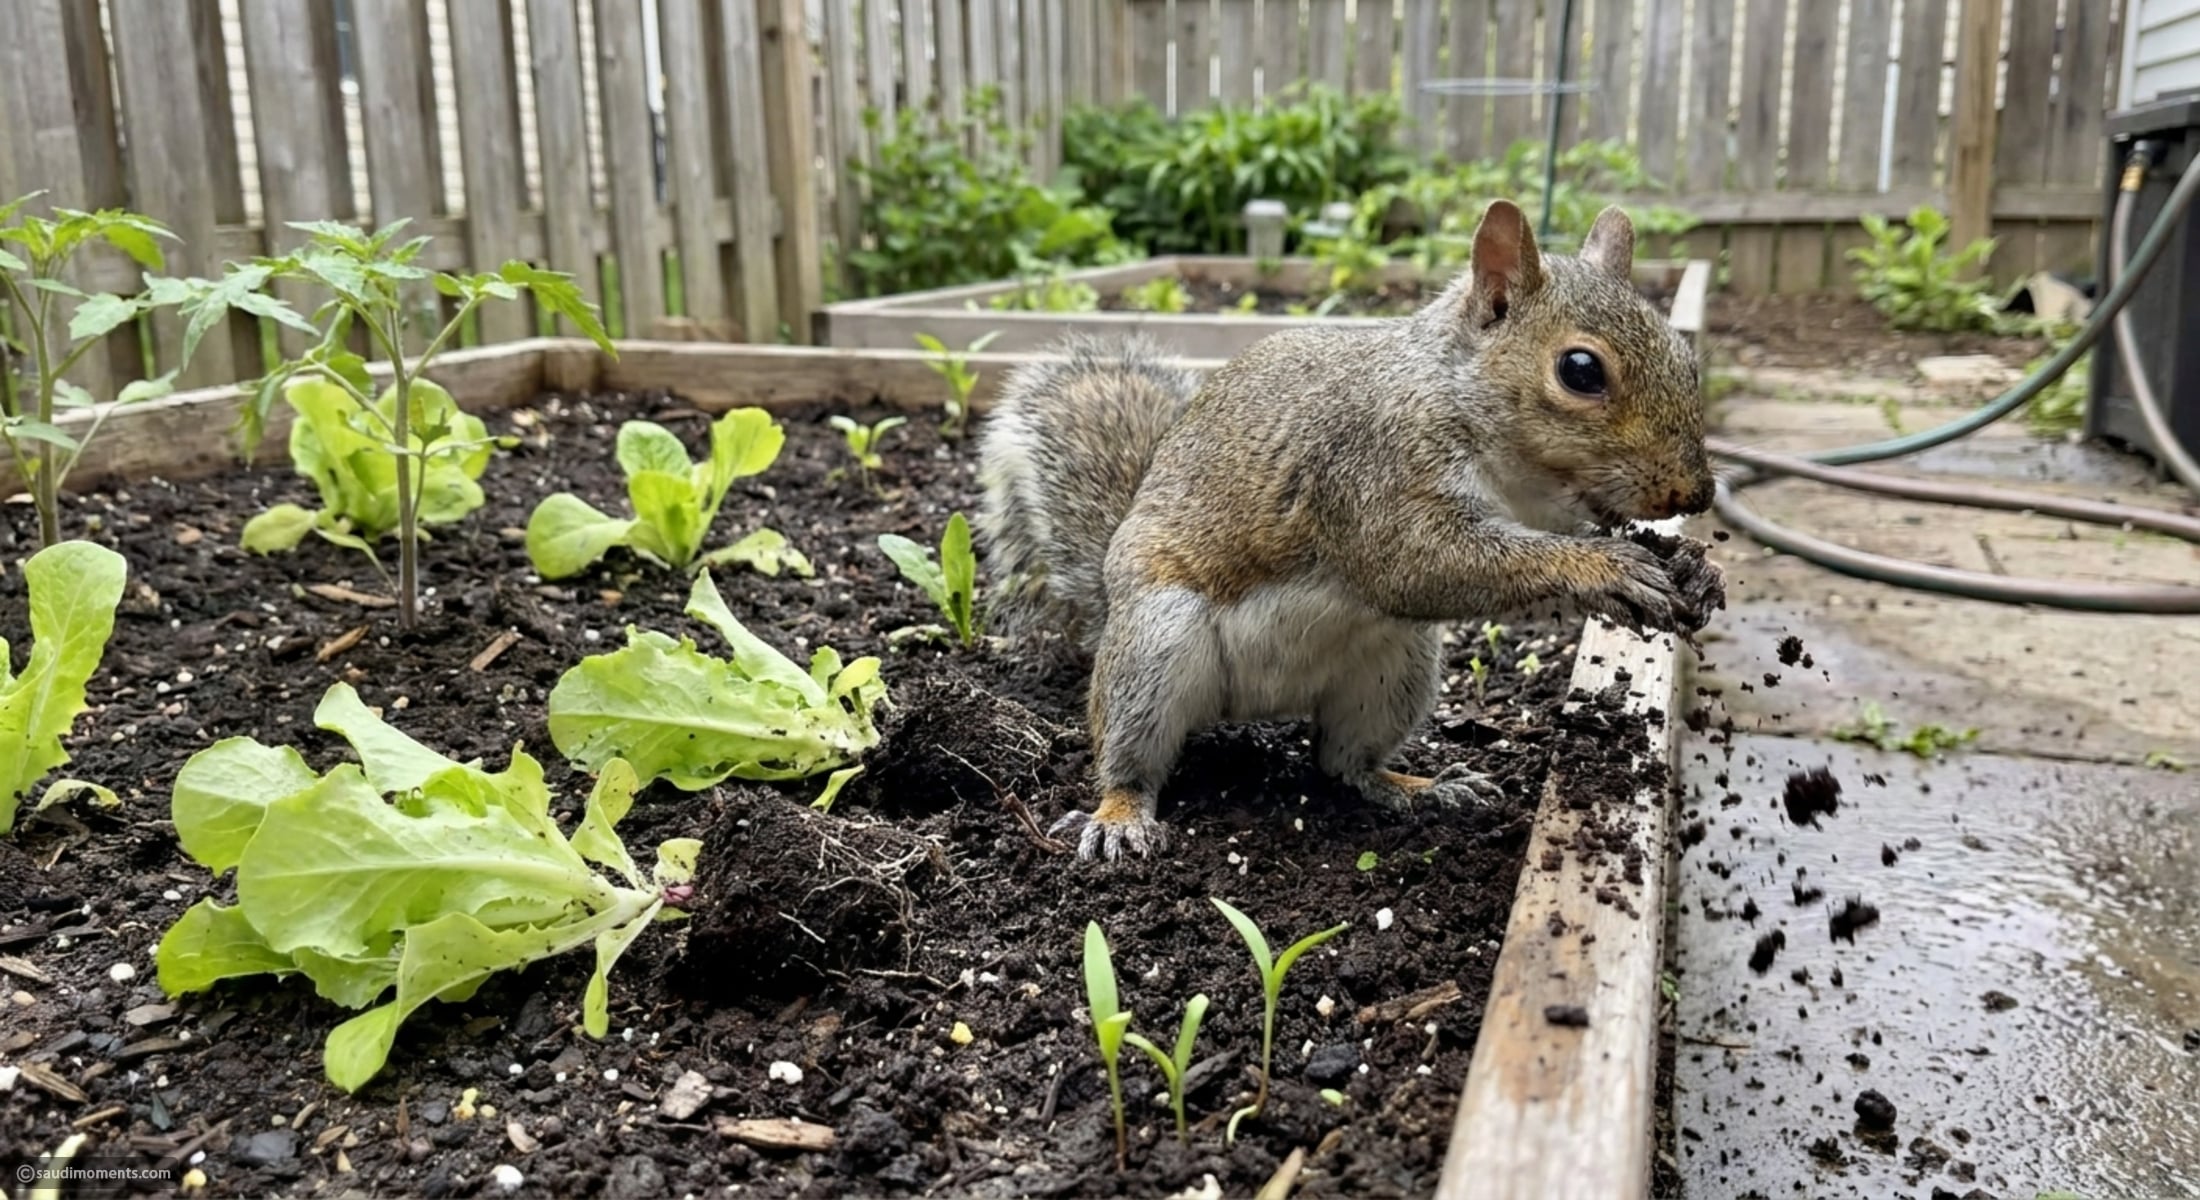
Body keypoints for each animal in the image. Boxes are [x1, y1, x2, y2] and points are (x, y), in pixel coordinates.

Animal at [975, 200, 1718, 861]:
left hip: (1394, 670)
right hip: (1153, 646)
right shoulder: (1370, 477)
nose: (1698, 493)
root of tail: (1260, 704)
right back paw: (1121, 816)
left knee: (1342, 763)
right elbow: (1423, 567)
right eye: (1580, 370)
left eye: (1688, 359)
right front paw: (1609, 569)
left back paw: (1420, 787)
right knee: (1130, 758)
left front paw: (1693, 568)